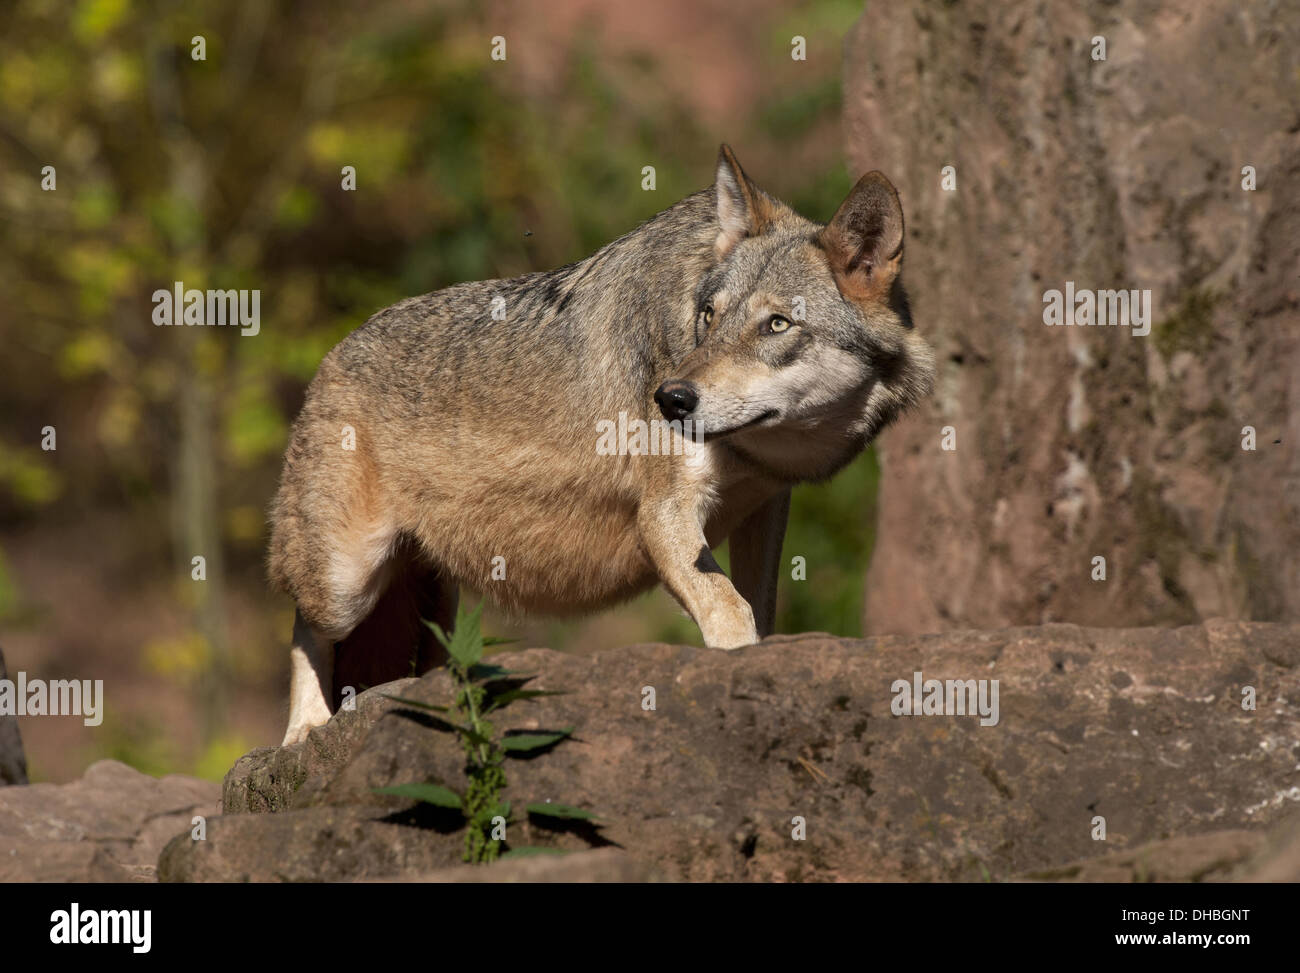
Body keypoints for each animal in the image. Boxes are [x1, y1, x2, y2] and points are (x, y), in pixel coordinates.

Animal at [268, 145, 934, 744]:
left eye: (777, 324)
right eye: (709, 317)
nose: (671, 399)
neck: (764, 447)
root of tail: (329, 358)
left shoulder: (767, 507)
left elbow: (758, 608)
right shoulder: (663, 516)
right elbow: (729, 607)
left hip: (433, 599)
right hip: (347, 584)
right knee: (302, 624)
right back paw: (304, 731)